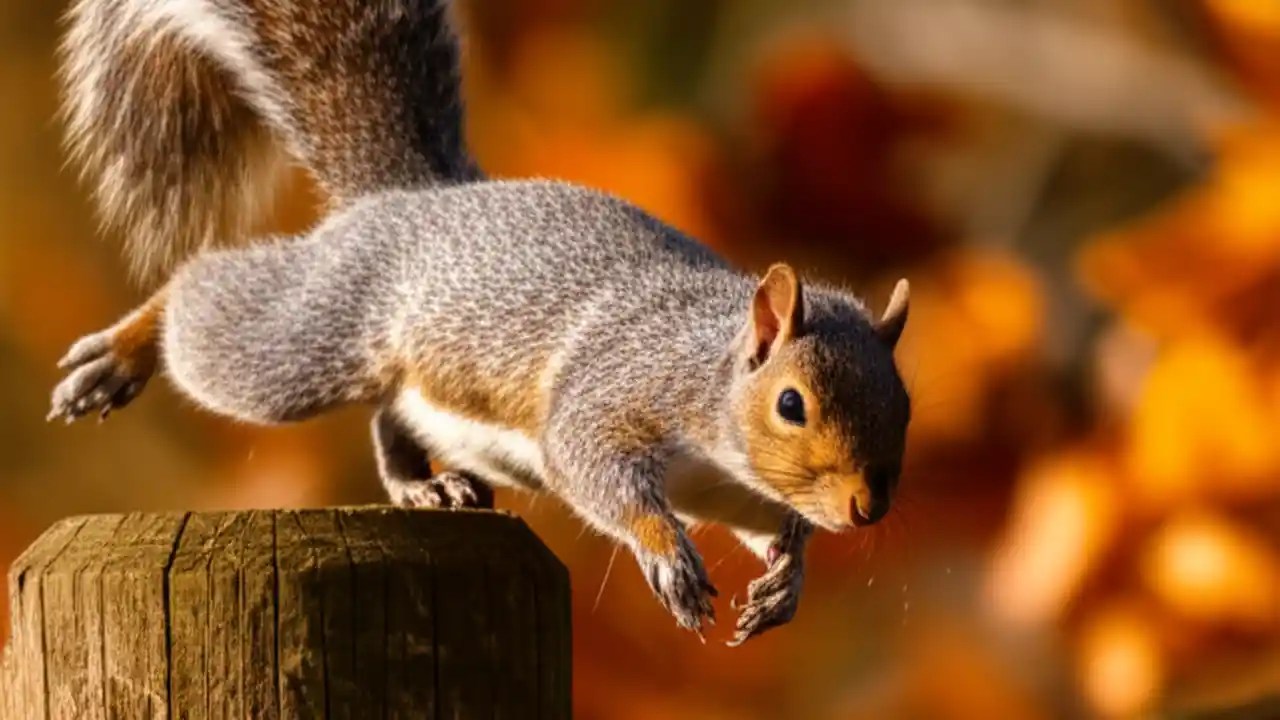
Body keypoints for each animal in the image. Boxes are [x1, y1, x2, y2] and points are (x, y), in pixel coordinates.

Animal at [47, 0, 912, 646]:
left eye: (905, 406)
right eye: (792, 404)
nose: (868, 509)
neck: (711, 387)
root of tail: (408, 200)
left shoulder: (737, 493)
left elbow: (771, 528)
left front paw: (786, 580)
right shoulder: (616, 391)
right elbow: (594, 467)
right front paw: (668, 556)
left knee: (391, 416)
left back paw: (422, 484)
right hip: (314, 336)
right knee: (204, 299)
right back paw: (123, 351)